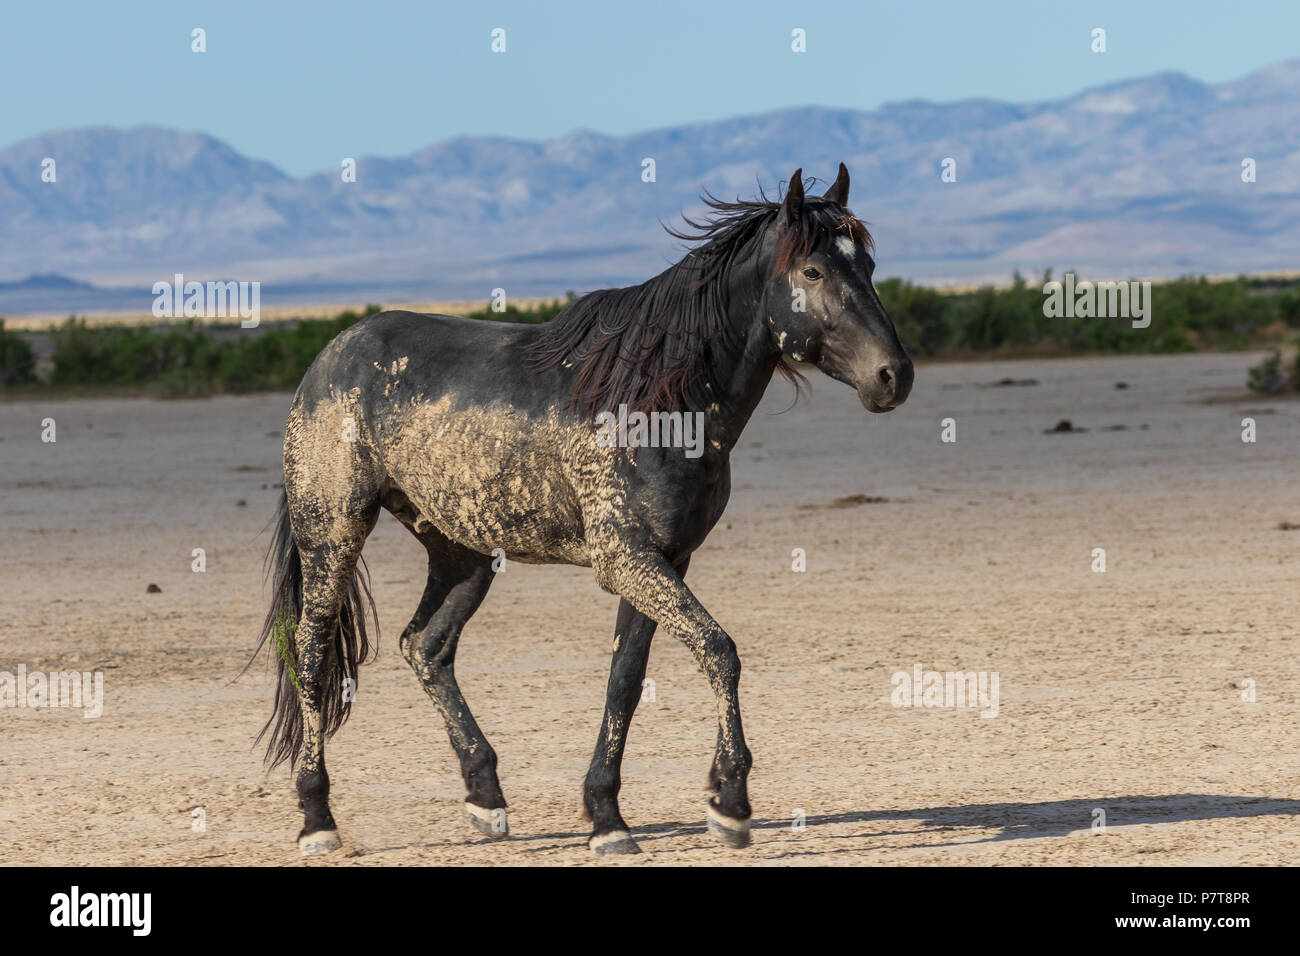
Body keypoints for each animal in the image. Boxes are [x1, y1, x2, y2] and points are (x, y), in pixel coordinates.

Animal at [251, 163, 914, 856]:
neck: (662, 399)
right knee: (311, 654)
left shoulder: (664, 559)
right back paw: (318, 819)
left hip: (461, 551)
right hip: (333, 533)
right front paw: (729, 802)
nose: (894, 375)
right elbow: (719, 650)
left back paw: (486, 799)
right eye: (812, 271)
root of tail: (325, 362)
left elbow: (625, 678)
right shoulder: (626, 559)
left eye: (868, 265)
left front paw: (607, 816)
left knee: (425, 647)